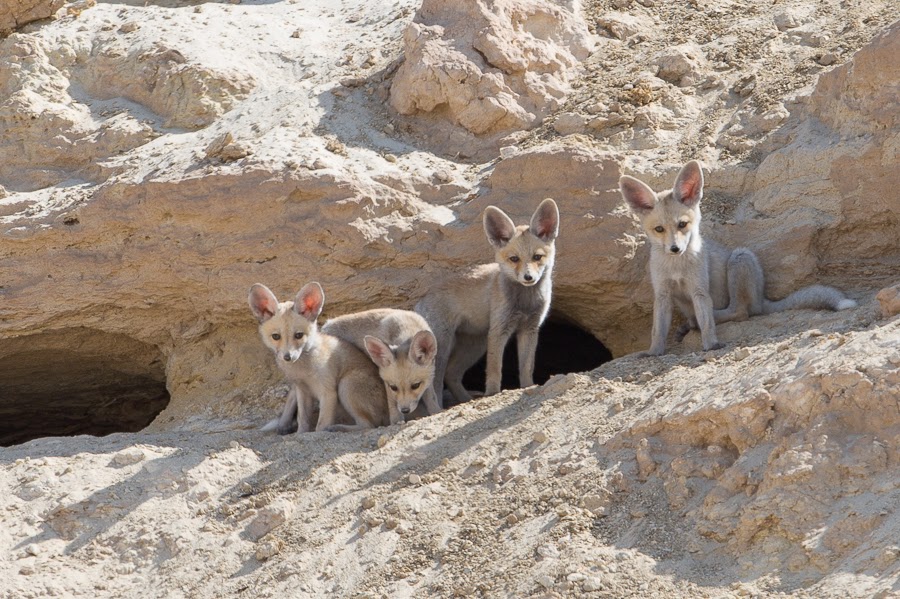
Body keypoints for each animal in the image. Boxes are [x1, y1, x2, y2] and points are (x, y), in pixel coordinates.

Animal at [248, 282, 389, 434]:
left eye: (298, 335)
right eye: (276, 336)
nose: (288, 357)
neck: (304, 371)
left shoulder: (328, 392)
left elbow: (320, 426)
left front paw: (319, 432)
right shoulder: (302, 391)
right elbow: (302, 420)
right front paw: (300, 434)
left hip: (345, 386)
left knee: (369, 425)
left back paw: (337, 428)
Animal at [416, 198, 559, 406]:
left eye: (537, 257)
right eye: (514, 259)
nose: (528, 277)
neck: (524, 303)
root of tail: (421, 300)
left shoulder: (530, 329)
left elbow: (526, 367)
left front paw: (528, 388)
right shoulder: (499, 330)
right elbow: (494, 369)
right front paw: (492, 393)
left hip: (475, 345)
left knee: (452, 374)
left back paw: (466, 400)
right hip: (443, 347)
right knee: (435, 382)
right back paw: (440, 408)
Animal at [619, 160, 857, 357]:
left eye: (682, 224)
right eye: (659, 229)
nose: (675, 248)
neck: (676, 267)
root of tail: (762, 299)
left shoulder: (699, 290)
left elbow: (707, 322)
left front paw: (711, 345)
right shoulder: (663, 293)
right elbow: (657, 330)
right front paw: (653, 352)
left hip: (740, 258)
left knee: (740, 312)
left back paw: (698, 322)